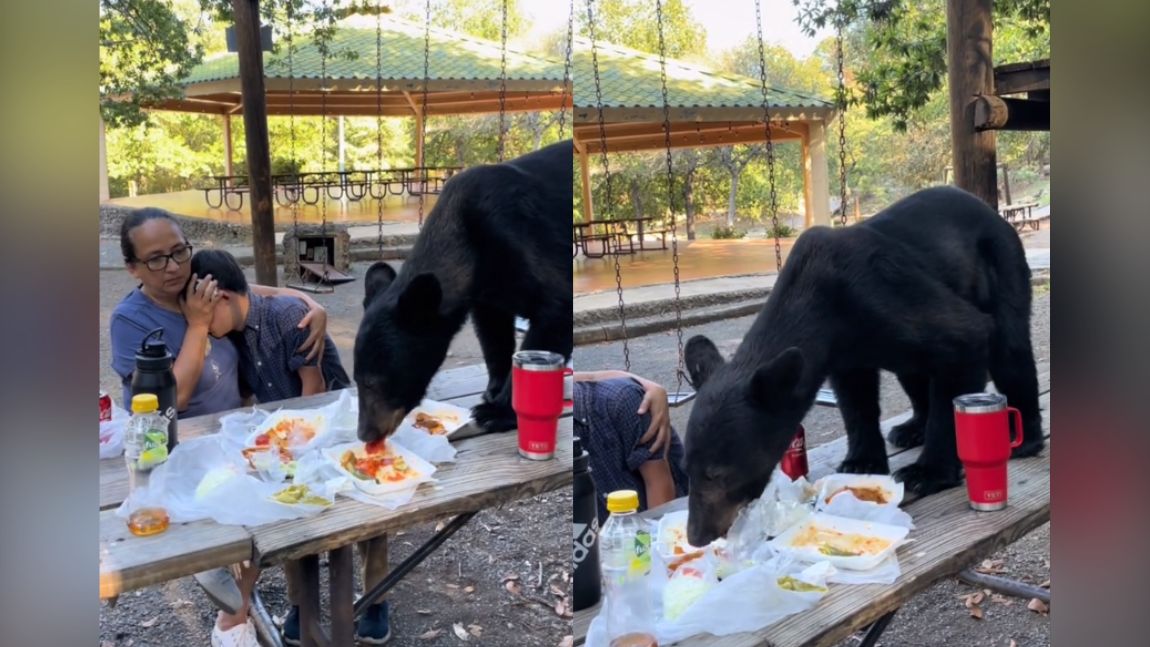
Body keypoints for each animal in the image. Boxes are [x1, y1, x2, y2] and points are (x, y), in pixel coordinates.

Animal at [353, 140, 573, 442]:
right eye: (357, 380)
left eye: (373, 383)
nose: (366, 434)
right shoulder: (488, 293)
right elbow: (493, 331)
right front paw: (494, 389)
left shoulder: (522, 238)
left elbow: (555, 306)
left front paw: (496, 411)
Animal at [681, 185, 1043, 546]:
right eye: (688, 471)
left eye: (718, 474)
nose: (697, 536)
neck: (819, 306)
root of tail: (992, 212)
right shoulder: (845, 353)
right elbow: (855, 400)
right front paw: (861, 462)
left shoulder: (880, 291)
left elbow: (966, 338)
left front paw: (929, 472)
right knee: (914, 374)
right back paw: (912, 427)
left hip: (1002, 264)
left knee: (1010, 350)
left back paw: (1025, 437)